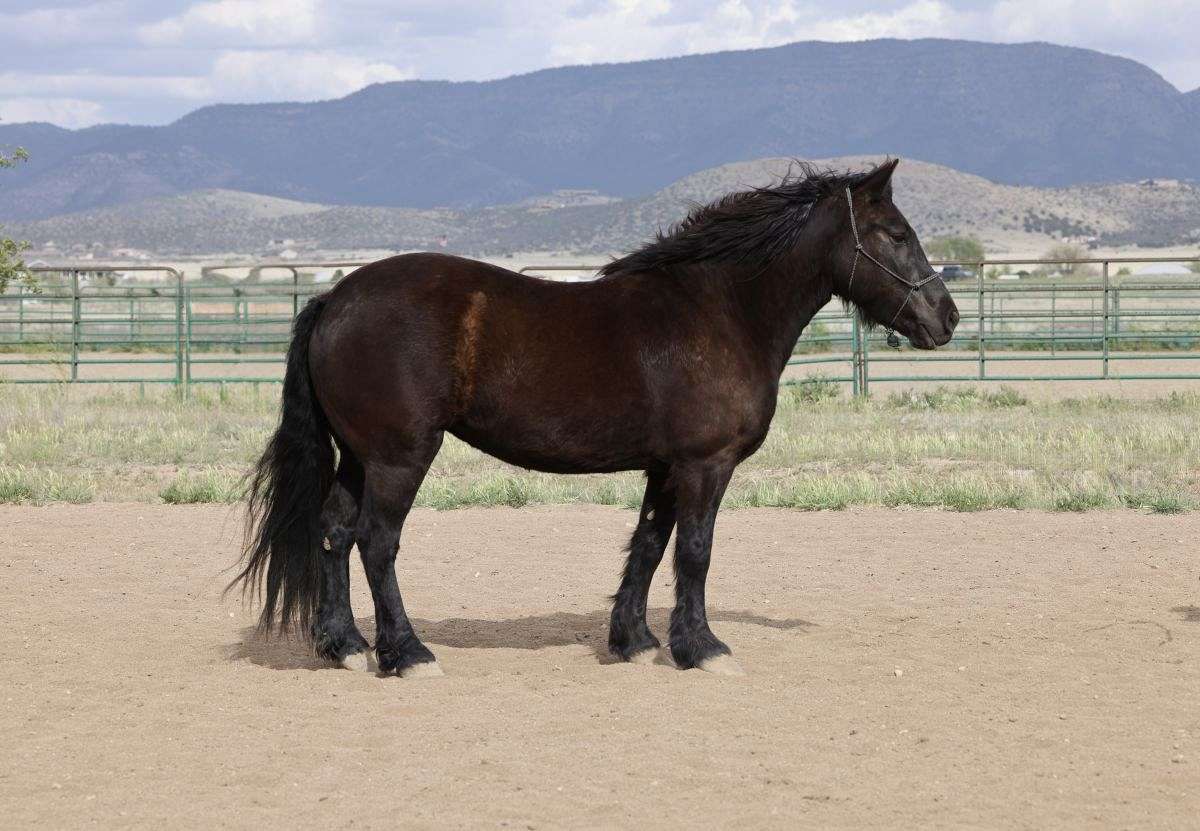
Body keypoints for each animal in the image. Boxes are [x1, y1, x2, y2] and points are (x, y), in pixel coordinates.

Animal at [231, 158, 959, 677]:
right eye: (896, 235)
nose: (946, 317)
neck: (718, 310)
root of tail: (334, 298)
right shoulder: (706, 465)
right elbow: (695, 552)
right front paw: (702, 648)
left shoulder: (666, 468)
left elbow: (650, 544)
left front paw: (635, 640)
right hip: (398, 456)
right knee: (376, 541)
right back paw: (407, 654)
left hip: (359, 455)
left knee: (333, 532)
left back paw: (346, 645)